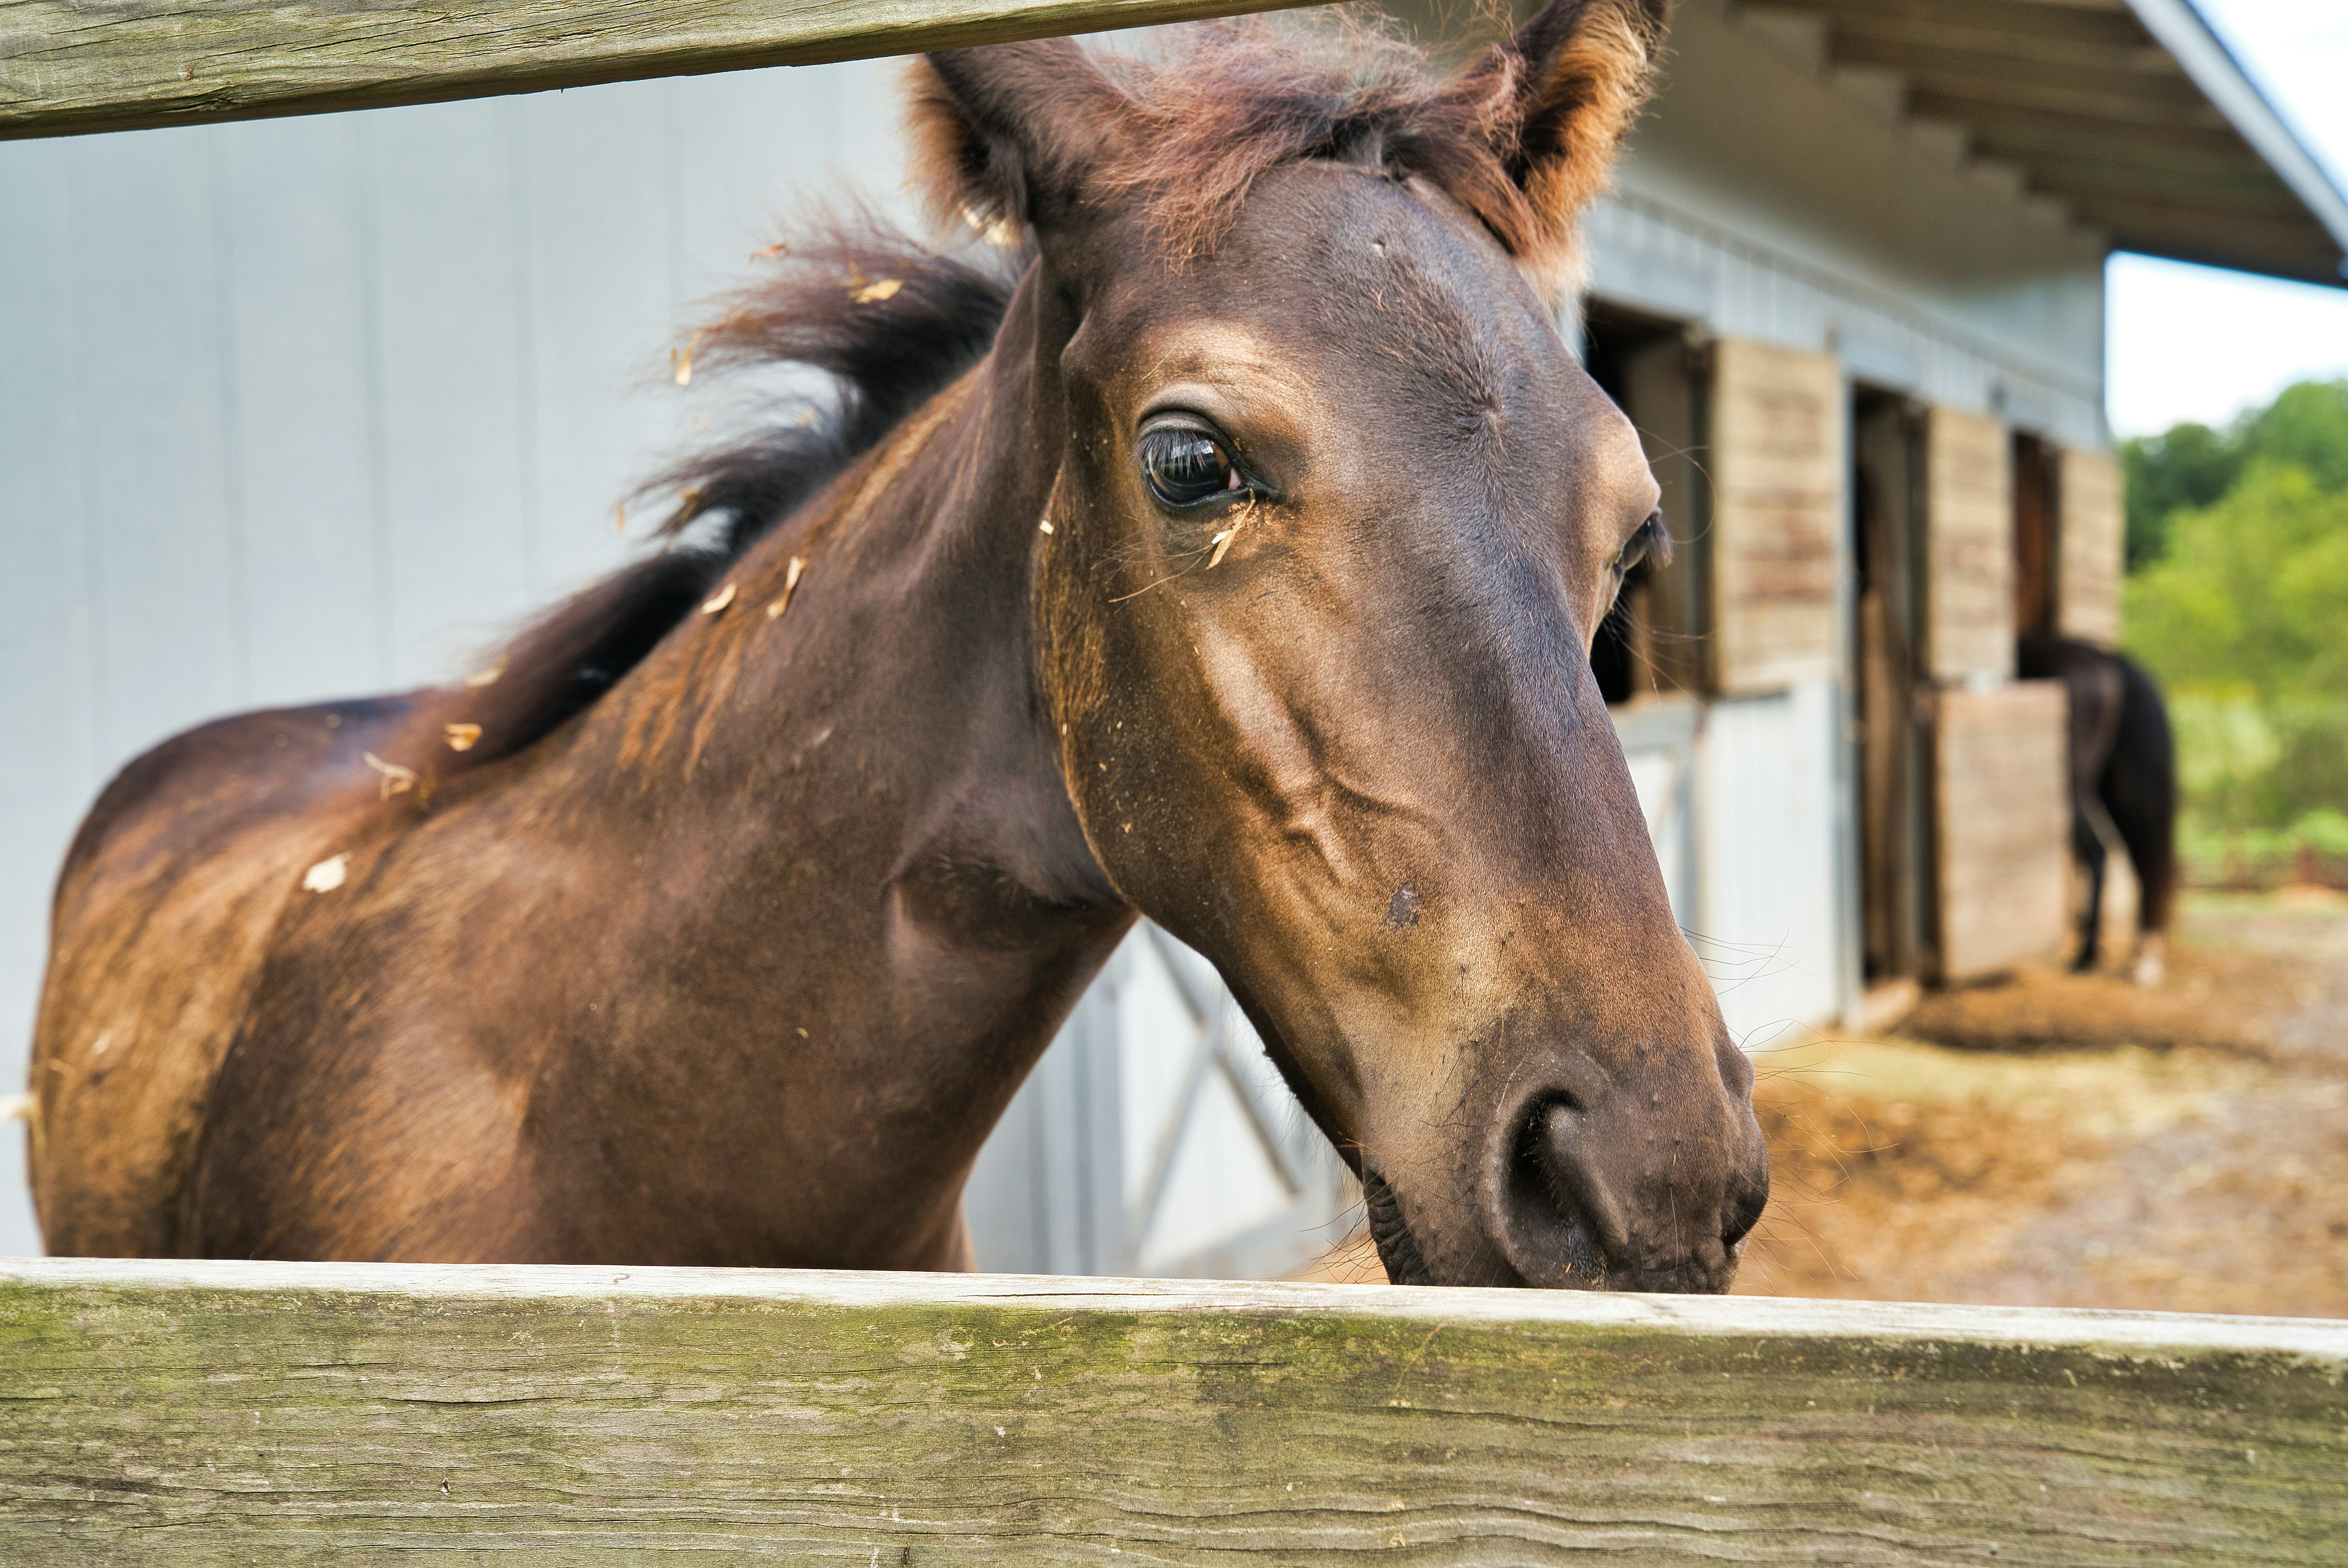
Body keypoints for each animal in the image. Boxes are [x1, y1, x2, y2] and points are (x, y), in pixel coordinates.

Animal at [2017, 634, 2178, 985]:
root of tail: (2109, 660)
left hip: (2070, 786)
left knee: (2098, 852)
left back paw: (2087, 956)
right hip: (2115, 786)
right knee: (2139, 855)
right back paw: (2143, 957)